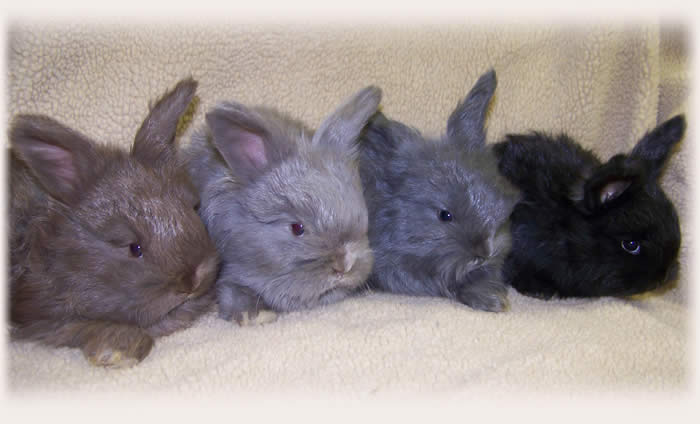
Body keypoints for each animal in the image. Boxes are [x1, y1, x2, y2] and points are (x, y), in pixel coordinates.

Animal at [9, 78, 220, 368]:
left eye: (193, 208)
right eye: (133, 247)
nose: (191, 282)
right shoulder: (35, 314)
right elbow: (71, 328)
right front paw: (119, 350)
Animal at [185, 86, 381, 324]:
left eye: (363, 217)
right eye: (297, 228)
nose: (344, 266)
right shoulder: (230, 271)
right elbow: (233, 292)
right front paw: (253, 317)